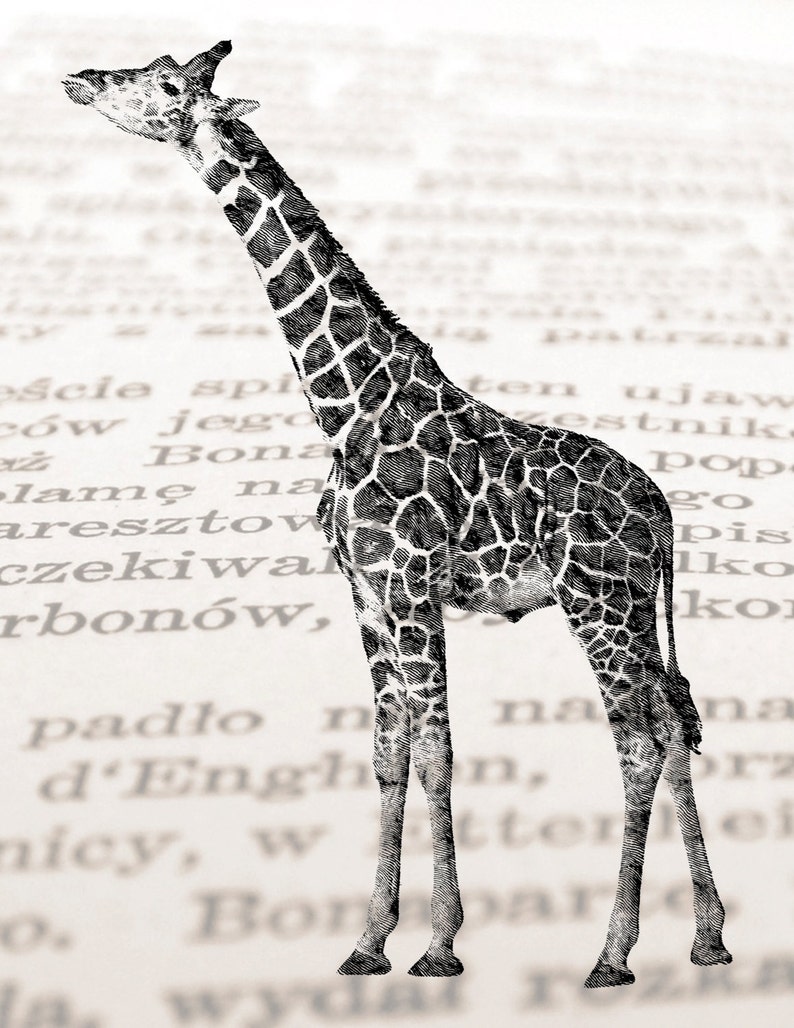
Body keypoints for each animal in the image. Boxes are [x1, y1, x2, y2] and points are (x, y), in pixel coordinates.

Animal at [63, 41, 732, 985]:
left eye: (163, 83)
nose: (82, 78)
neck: (344, 407)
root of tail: (664, 511)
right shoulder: (368, 595)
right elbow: (388, 753)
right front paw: (368, 940)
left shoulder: (414, 590)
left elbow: (438, 752)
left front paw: (441, 944)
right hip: (635, 609)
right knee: (674, 726)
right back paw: (707, 936)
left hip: (597, 605)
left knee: (637, 742)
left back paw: (611, 954)